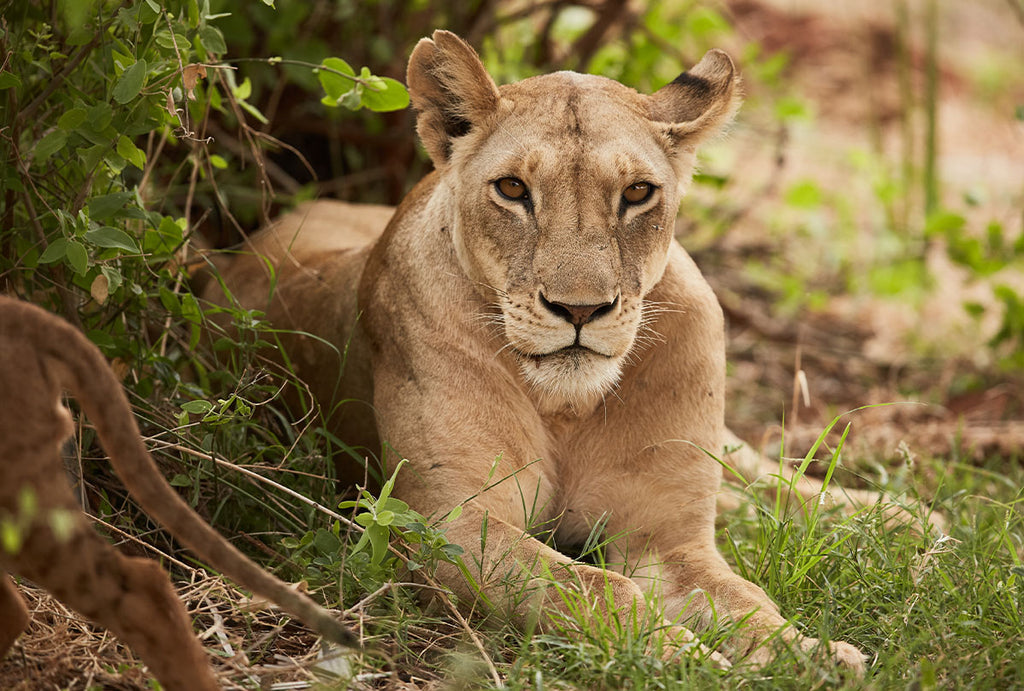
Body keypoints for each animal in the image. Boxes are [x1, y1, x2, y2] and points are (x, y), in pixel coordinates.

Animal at [202, 31, 867, 670]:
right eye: (513, 188)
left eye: (637, 192)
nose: (580, 309)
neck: (567, 407)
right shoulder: (446, 524)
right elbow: (594, 588)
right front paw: (689, 658)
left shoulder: (665, 538)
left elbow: (745, 600)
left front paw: (811, 656)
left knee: (769, 480)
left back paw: (886, 514)